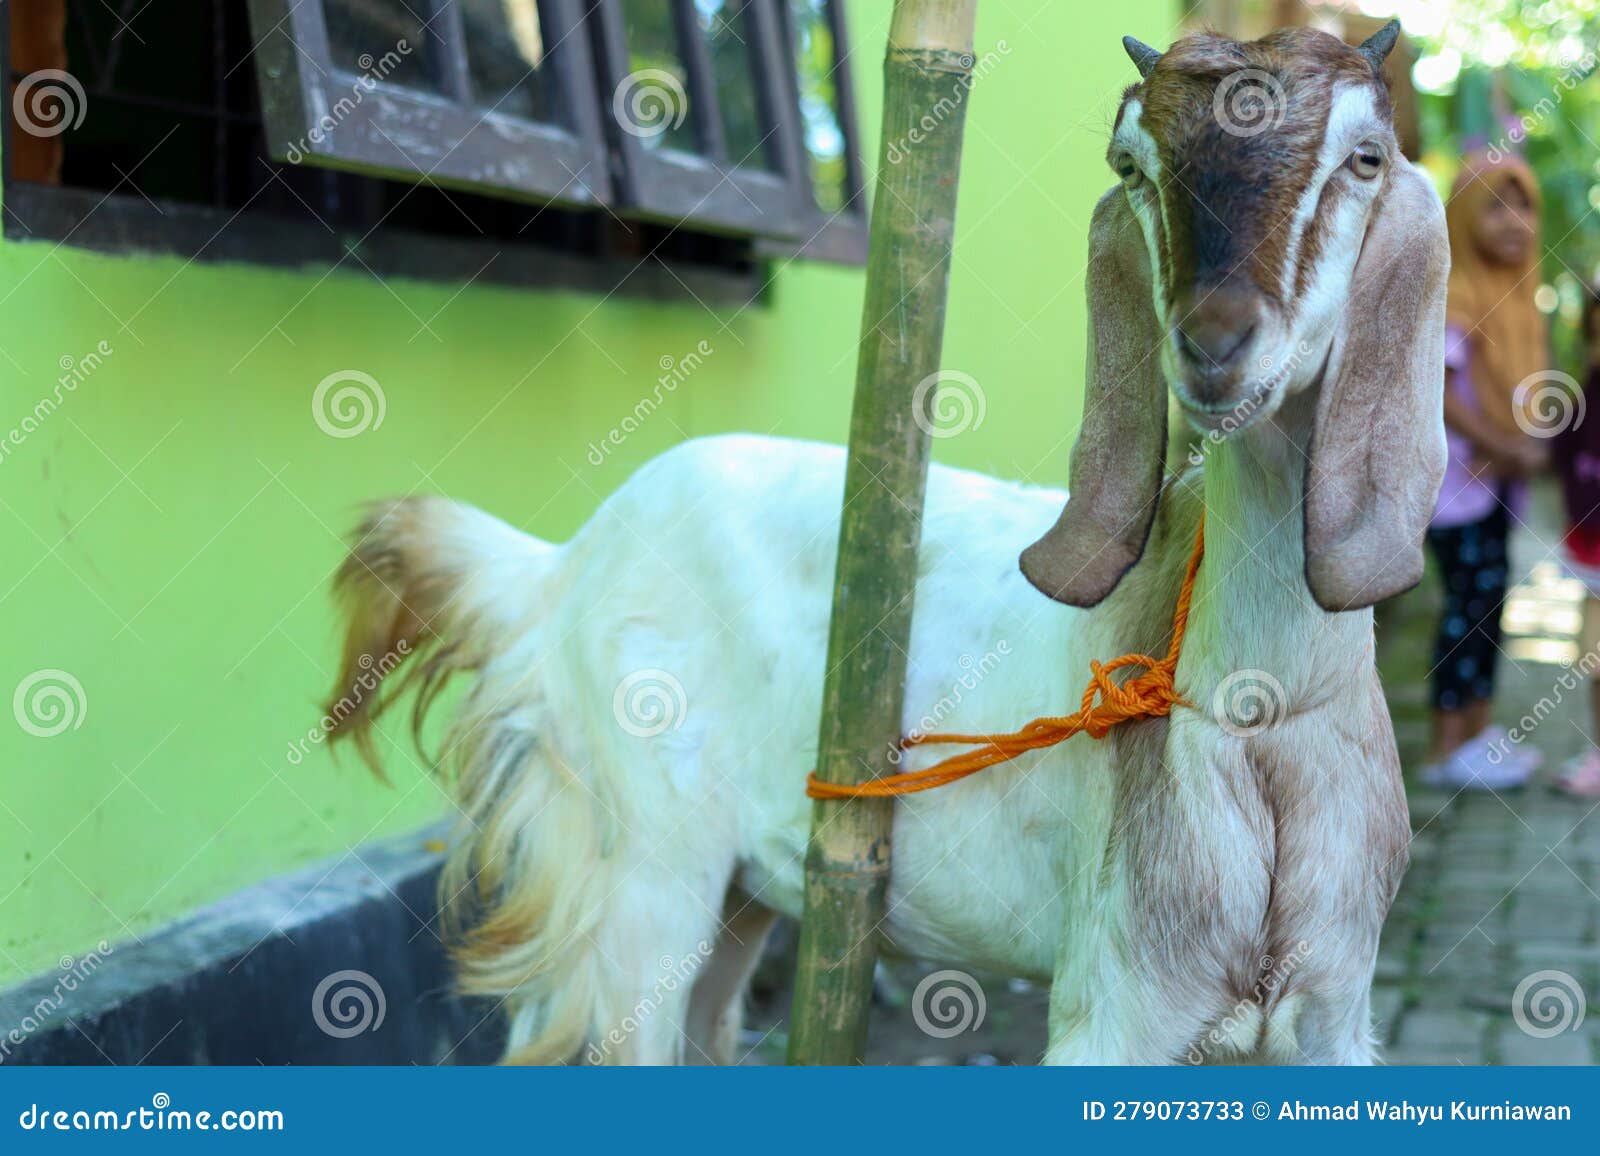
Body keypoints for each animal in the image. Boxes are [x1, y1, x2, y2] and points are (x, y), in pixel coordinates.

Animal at [324, 23, 1447, 1065]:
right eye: (1130, 165)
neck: (1259, 722)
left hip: (741, 892)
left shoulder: (1334, 1017)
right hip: (638, 875)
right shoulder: (1116, 1004)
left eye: (1366, 157)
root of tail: (561, 567)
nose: (1214, 348)